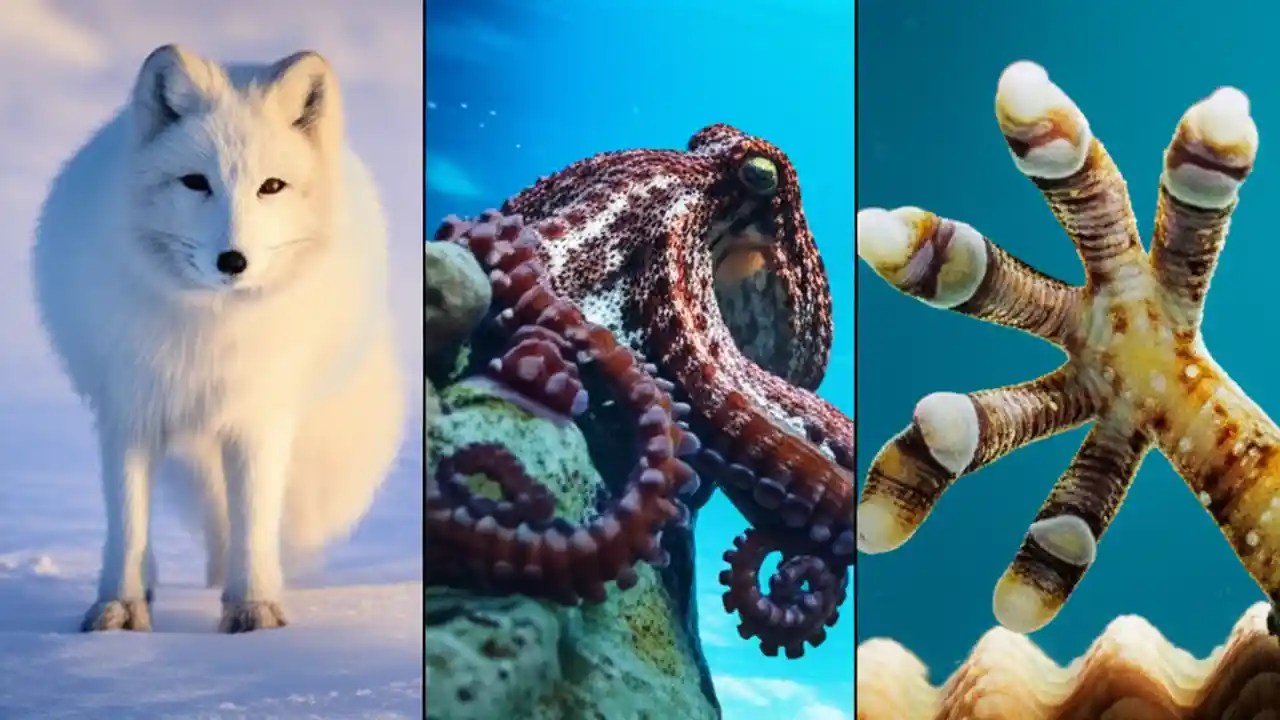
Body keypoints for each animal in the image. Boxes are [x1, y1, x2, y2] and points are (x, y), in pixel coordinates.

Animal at [31, 44, 407, 633]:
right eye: (195, 182)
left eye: (270, 186)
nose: (233, 261)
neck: (208, 327)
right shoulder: (129, 411)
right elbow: (128, 522)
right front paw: (120, 608)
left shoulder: (258, 415)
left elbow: (252, 520)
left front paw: (252, 608)